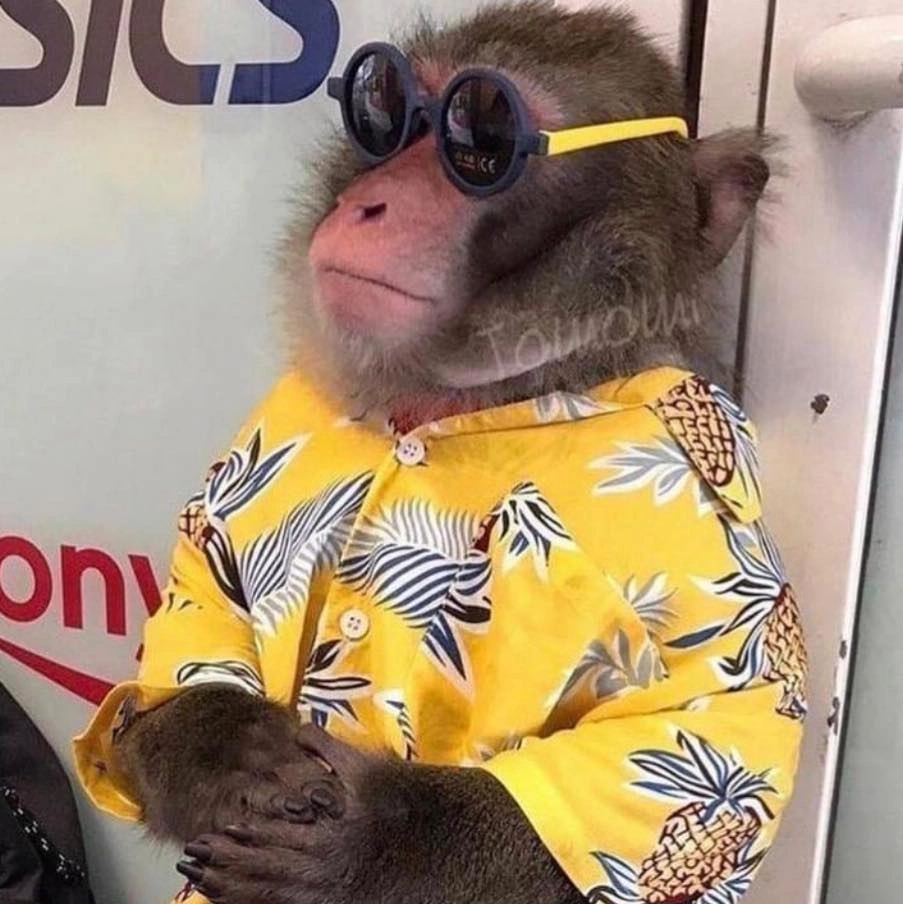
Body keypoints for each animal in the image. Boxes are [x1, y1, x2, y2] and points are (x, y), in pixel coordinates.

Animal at [74, 4, 806, 904]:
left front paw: (379, 839)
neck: (463, 404)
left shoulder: (706, 514)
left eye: (482, 137)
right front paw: (215, 747)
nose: (368, 202)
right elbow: (202, 602)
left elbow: (712, 731)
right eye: (387, 110)